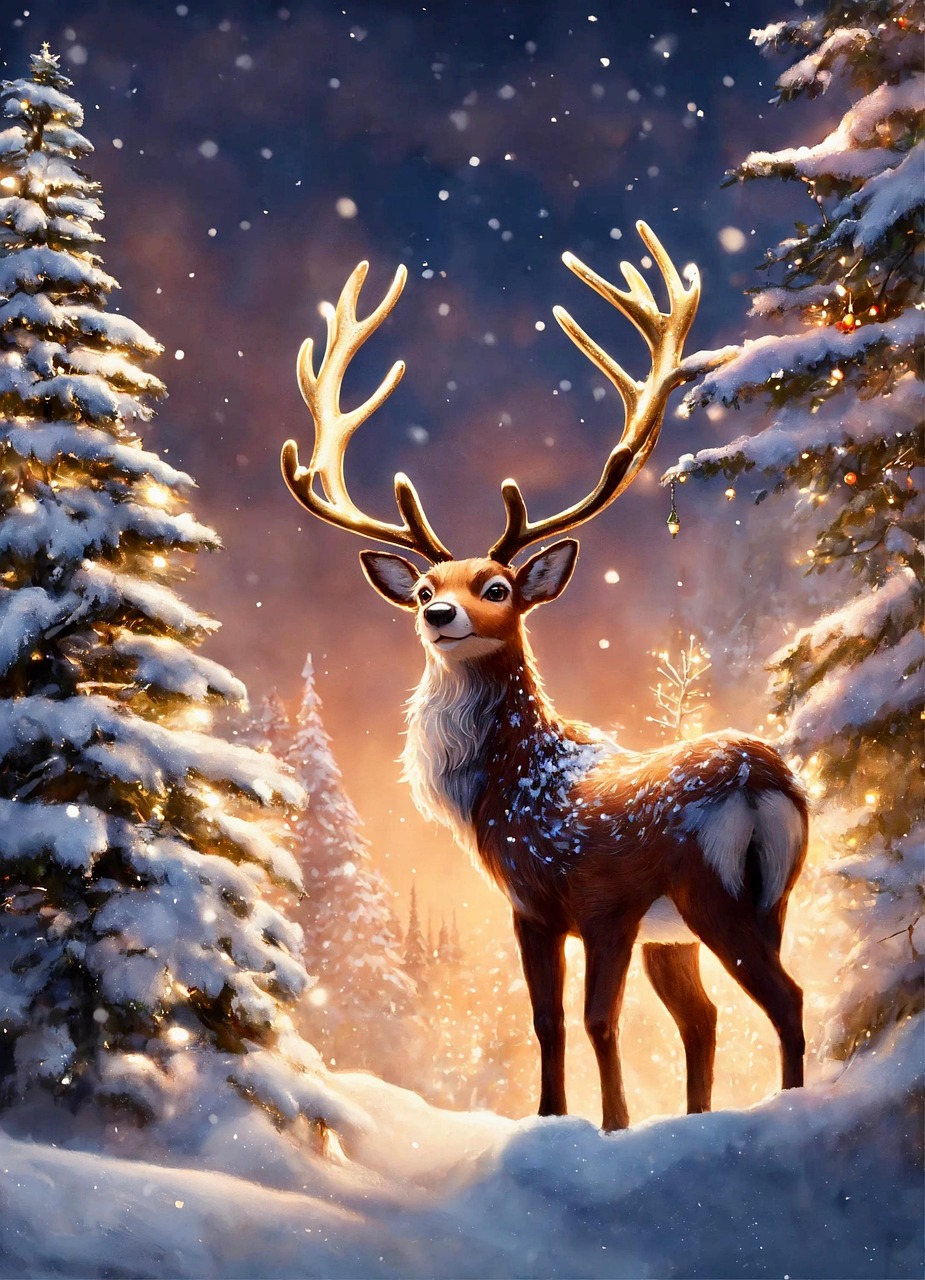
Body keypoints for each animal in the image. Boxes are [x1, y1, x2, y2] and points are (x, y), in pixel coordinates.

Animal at [279, 223, 808, 1131]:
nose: (437, 615)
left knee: (784, 999)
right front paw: (575, 1121)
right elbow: (567, 1021)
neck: (507, 785)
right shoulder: (583, 912)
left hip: (705, 890)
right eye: (421, 586)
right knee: (712, 1016)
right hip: (761, 899)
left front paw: (597, 1125)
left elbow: (576, 1020)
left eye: (496, 588)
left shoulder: (569, 899)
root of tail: (764, 783)